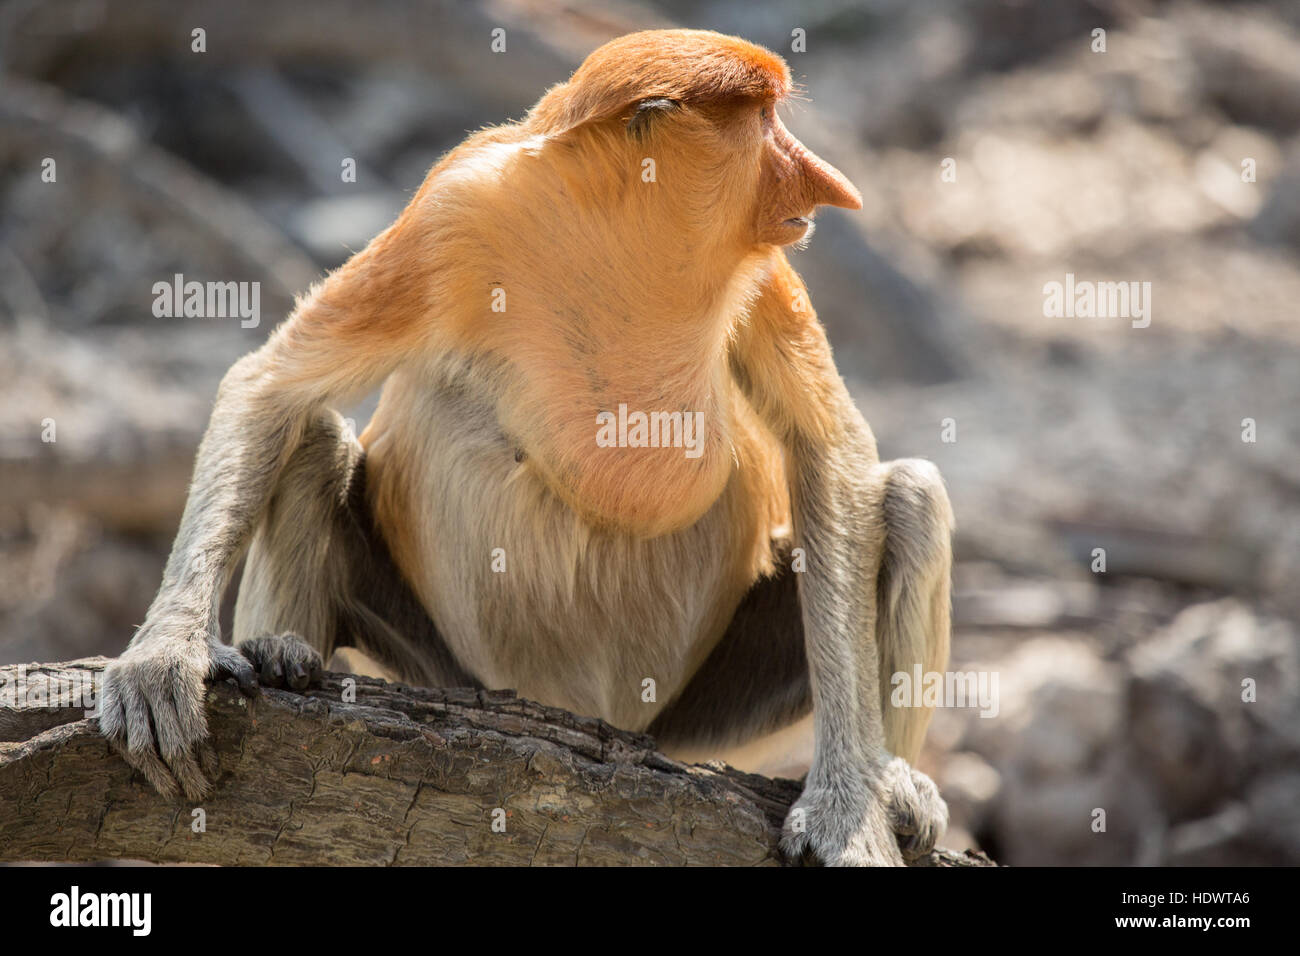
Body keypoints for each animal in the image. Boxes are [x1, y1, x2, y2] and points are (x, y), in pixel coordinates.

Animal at [98, 29, 954, 866]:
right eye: (767, 123)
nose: (830, 185)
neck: (621, 235)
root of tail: (593, 711)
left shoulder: (764, 272)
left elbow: (828, 451)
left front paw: (849, 807)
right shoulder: (454, 218)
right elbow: (270, 386)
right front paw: (161, 659)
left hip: (700, 704)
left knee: (912, 494)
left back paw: (898, 781)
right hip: (448, 666)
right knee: (315, 435)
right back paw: (283, 652)